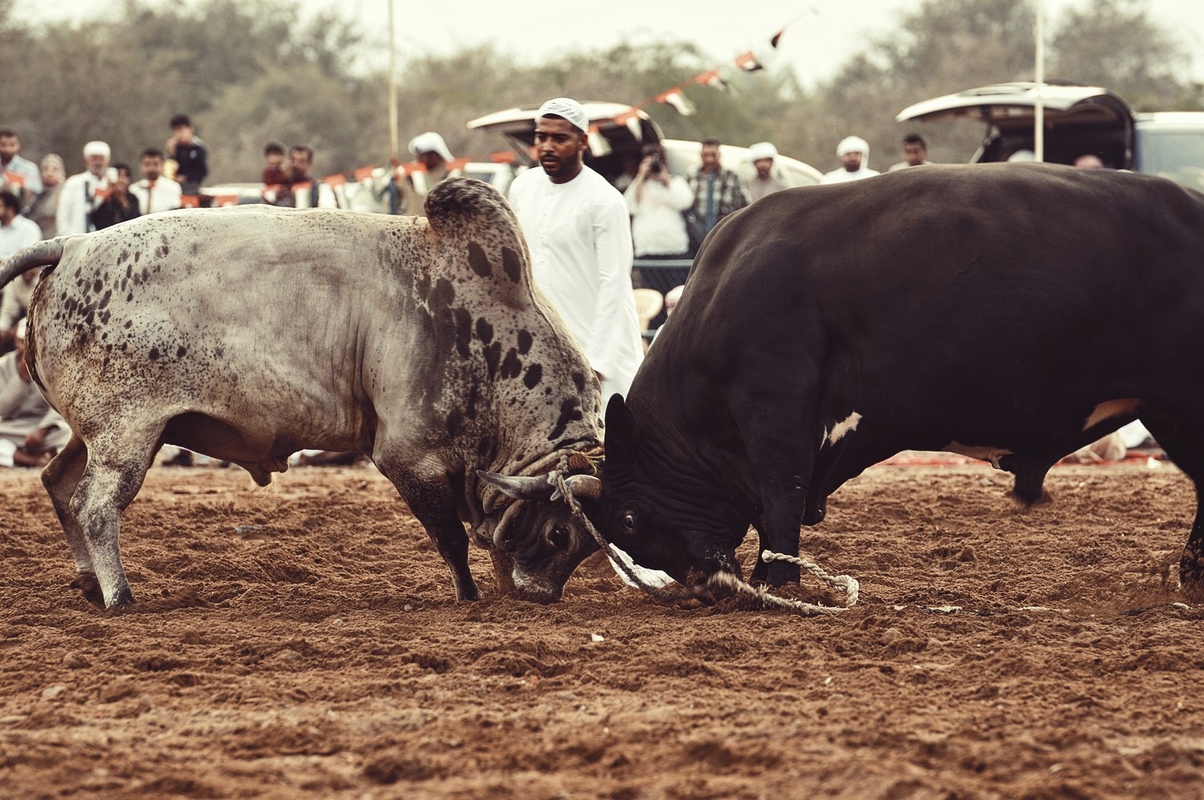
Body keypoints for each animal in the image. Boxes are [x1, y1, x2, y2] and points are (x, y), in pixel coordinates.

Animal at [0, 177, 605, 610]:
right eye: (559, 534)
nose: (541, 596)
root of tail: (73, 244)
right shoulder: (409, 459)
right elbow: (451, 539)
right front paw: (469, 597)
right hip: (126, 434)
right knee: (95, 506)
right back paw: (120, 597)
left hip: (98, 434)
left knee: (58, 484)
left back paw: (88, 583)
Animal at [587, 164, 1204, 598]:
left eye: (629, 518)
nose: (700, 586)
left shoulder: (774, 403)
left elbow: (780, 494)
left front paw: (776, 583)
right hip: (1170, 411)